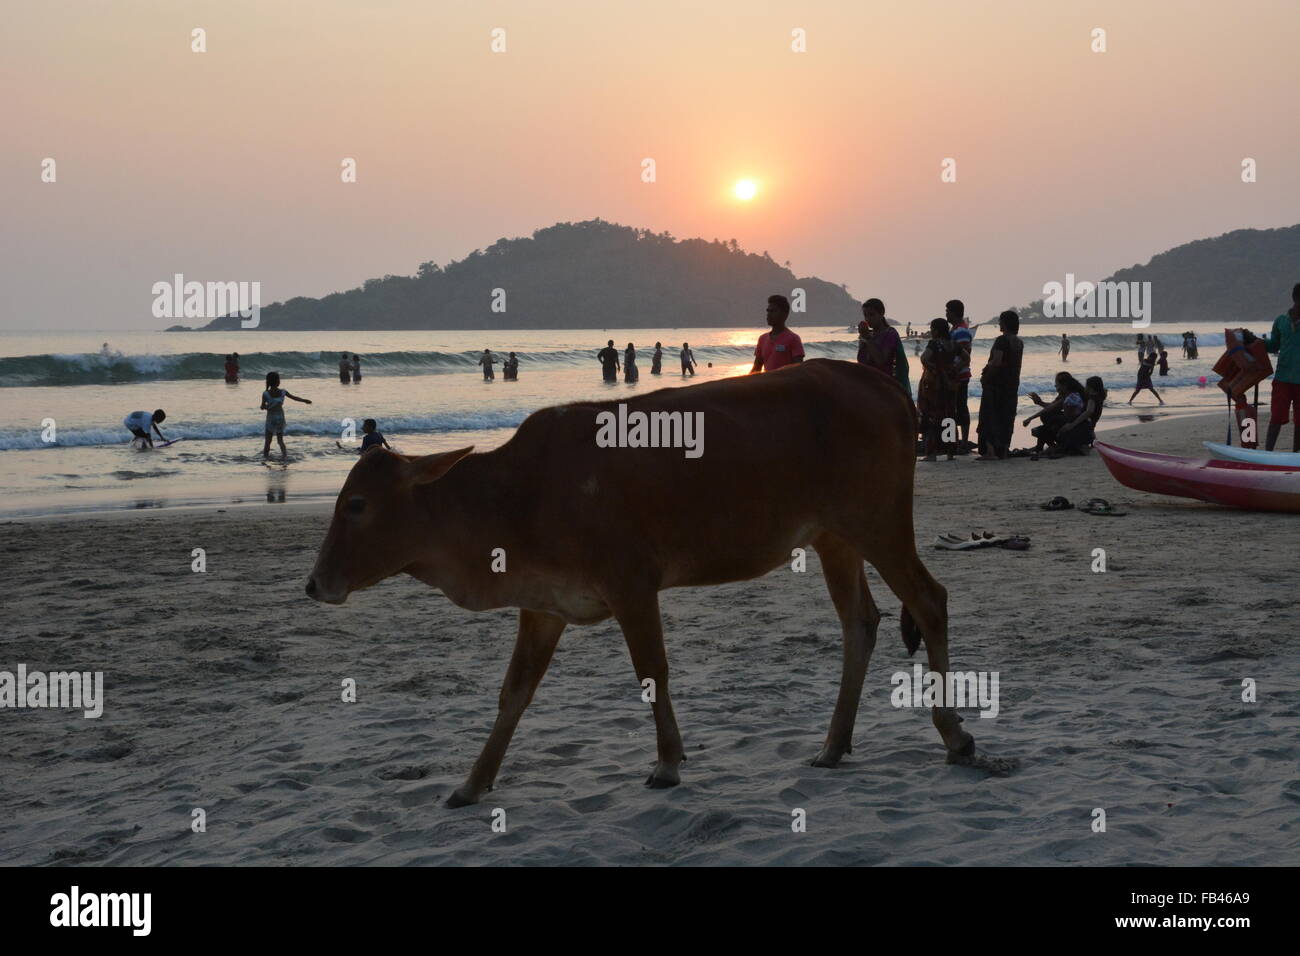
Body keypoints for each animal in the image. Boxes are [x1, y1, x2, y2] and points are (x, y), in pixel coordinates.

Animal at [305, 358, 974, 806]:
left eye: (357, 505)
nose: (314, 585)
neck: (514, 498)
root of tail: (883, 384)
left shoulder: (631, 583)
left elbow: (652, 671)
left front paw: (668, 764)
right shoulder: (544, 607)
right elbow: (513, 693)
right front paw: (473, 783)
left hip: (879, 523)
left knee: (930, 600)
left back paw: (953, 735)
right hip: (834, 538)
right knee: (861, 622)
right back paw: (834, 744)